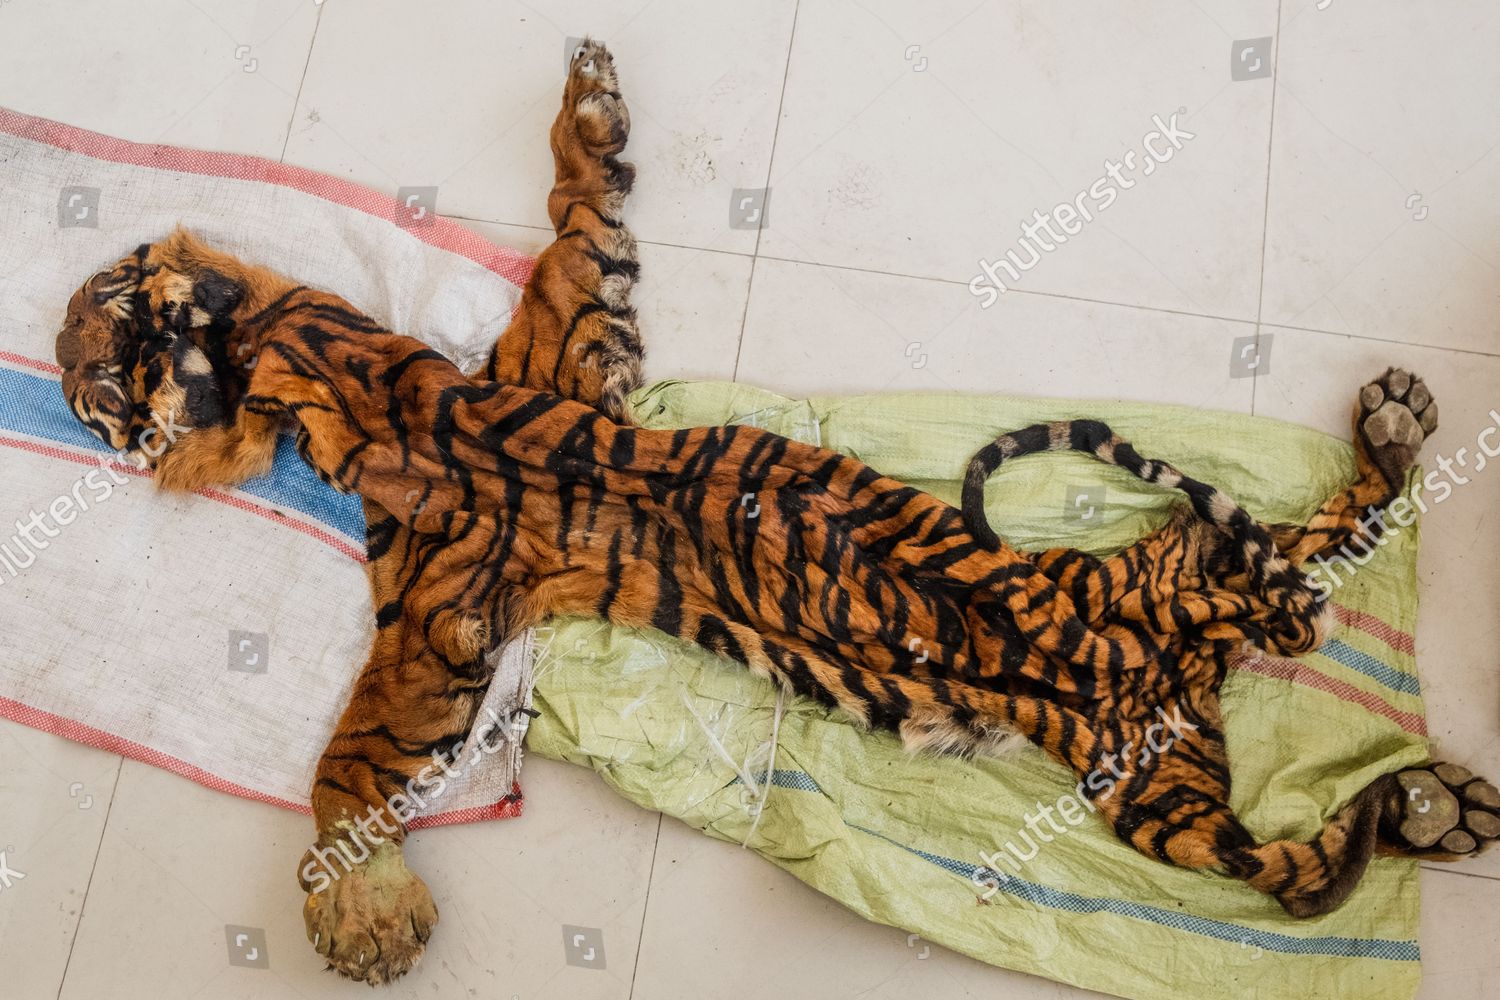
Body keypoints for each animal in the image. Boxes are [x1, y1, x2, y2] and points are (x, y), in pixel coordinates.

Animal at [51, 40, 1498, 985]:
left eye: (90, 367)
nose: (70, 380)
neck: (322, 367)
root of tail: (1179, 651)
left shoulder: (447, 591)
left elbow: (347, 764)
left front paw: (359, 917)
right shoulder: (527, 431)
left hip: (1164, 708)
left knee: (1289, 826)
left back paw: (1390, 459)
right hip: (1167, 732)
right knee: (1293, 771)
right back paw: (1443, 794)